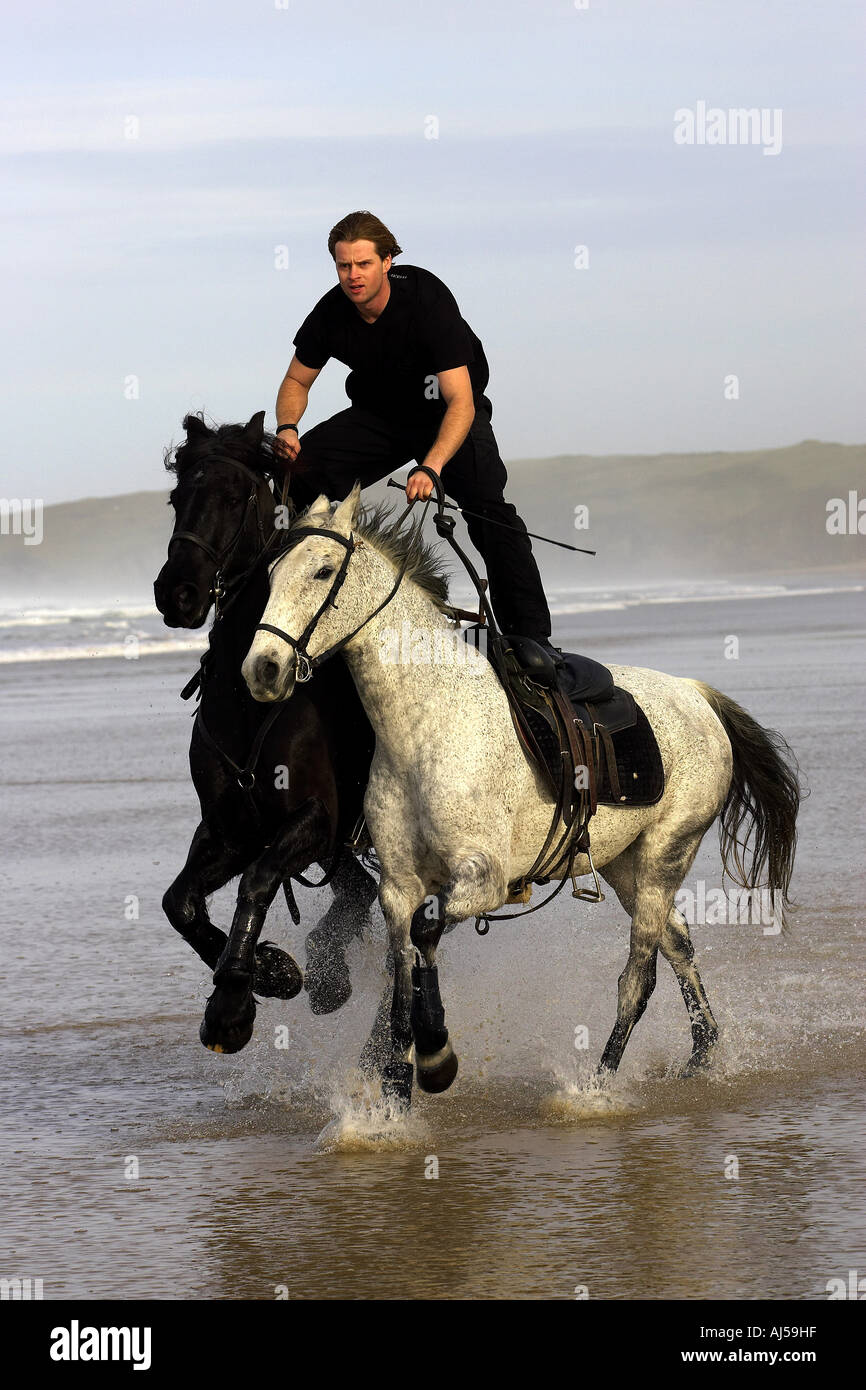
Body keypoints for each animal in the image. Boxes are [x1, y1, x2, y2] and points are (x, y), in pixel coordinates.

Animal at [154, 412, 380, 1053]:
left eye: (234, 496)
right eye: (177, 498)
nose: (176, 593)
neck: (249, 701)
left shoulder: (314, 819)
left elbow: (256, 880)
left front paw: (233, 1003)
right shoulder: (232, 827)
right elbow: (179, 902)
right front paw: (273, 970)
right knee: (360, 895)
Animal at [241, 482, 802, 1108]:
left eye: (322, 569)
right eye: (271, 574)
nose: (262, 669)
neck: (427, 726)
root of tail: (696, 695)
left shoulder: (481, 881)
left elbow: (424, 942)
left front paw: (434, 1059)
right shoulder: (399, 886)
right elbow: (402, 972)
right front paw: (392, 1093)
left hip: (665, 856)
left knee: (638, 976)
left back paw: (597, 1087)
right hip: (624, 865)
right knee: (678, 945)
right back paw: (702, 1053)